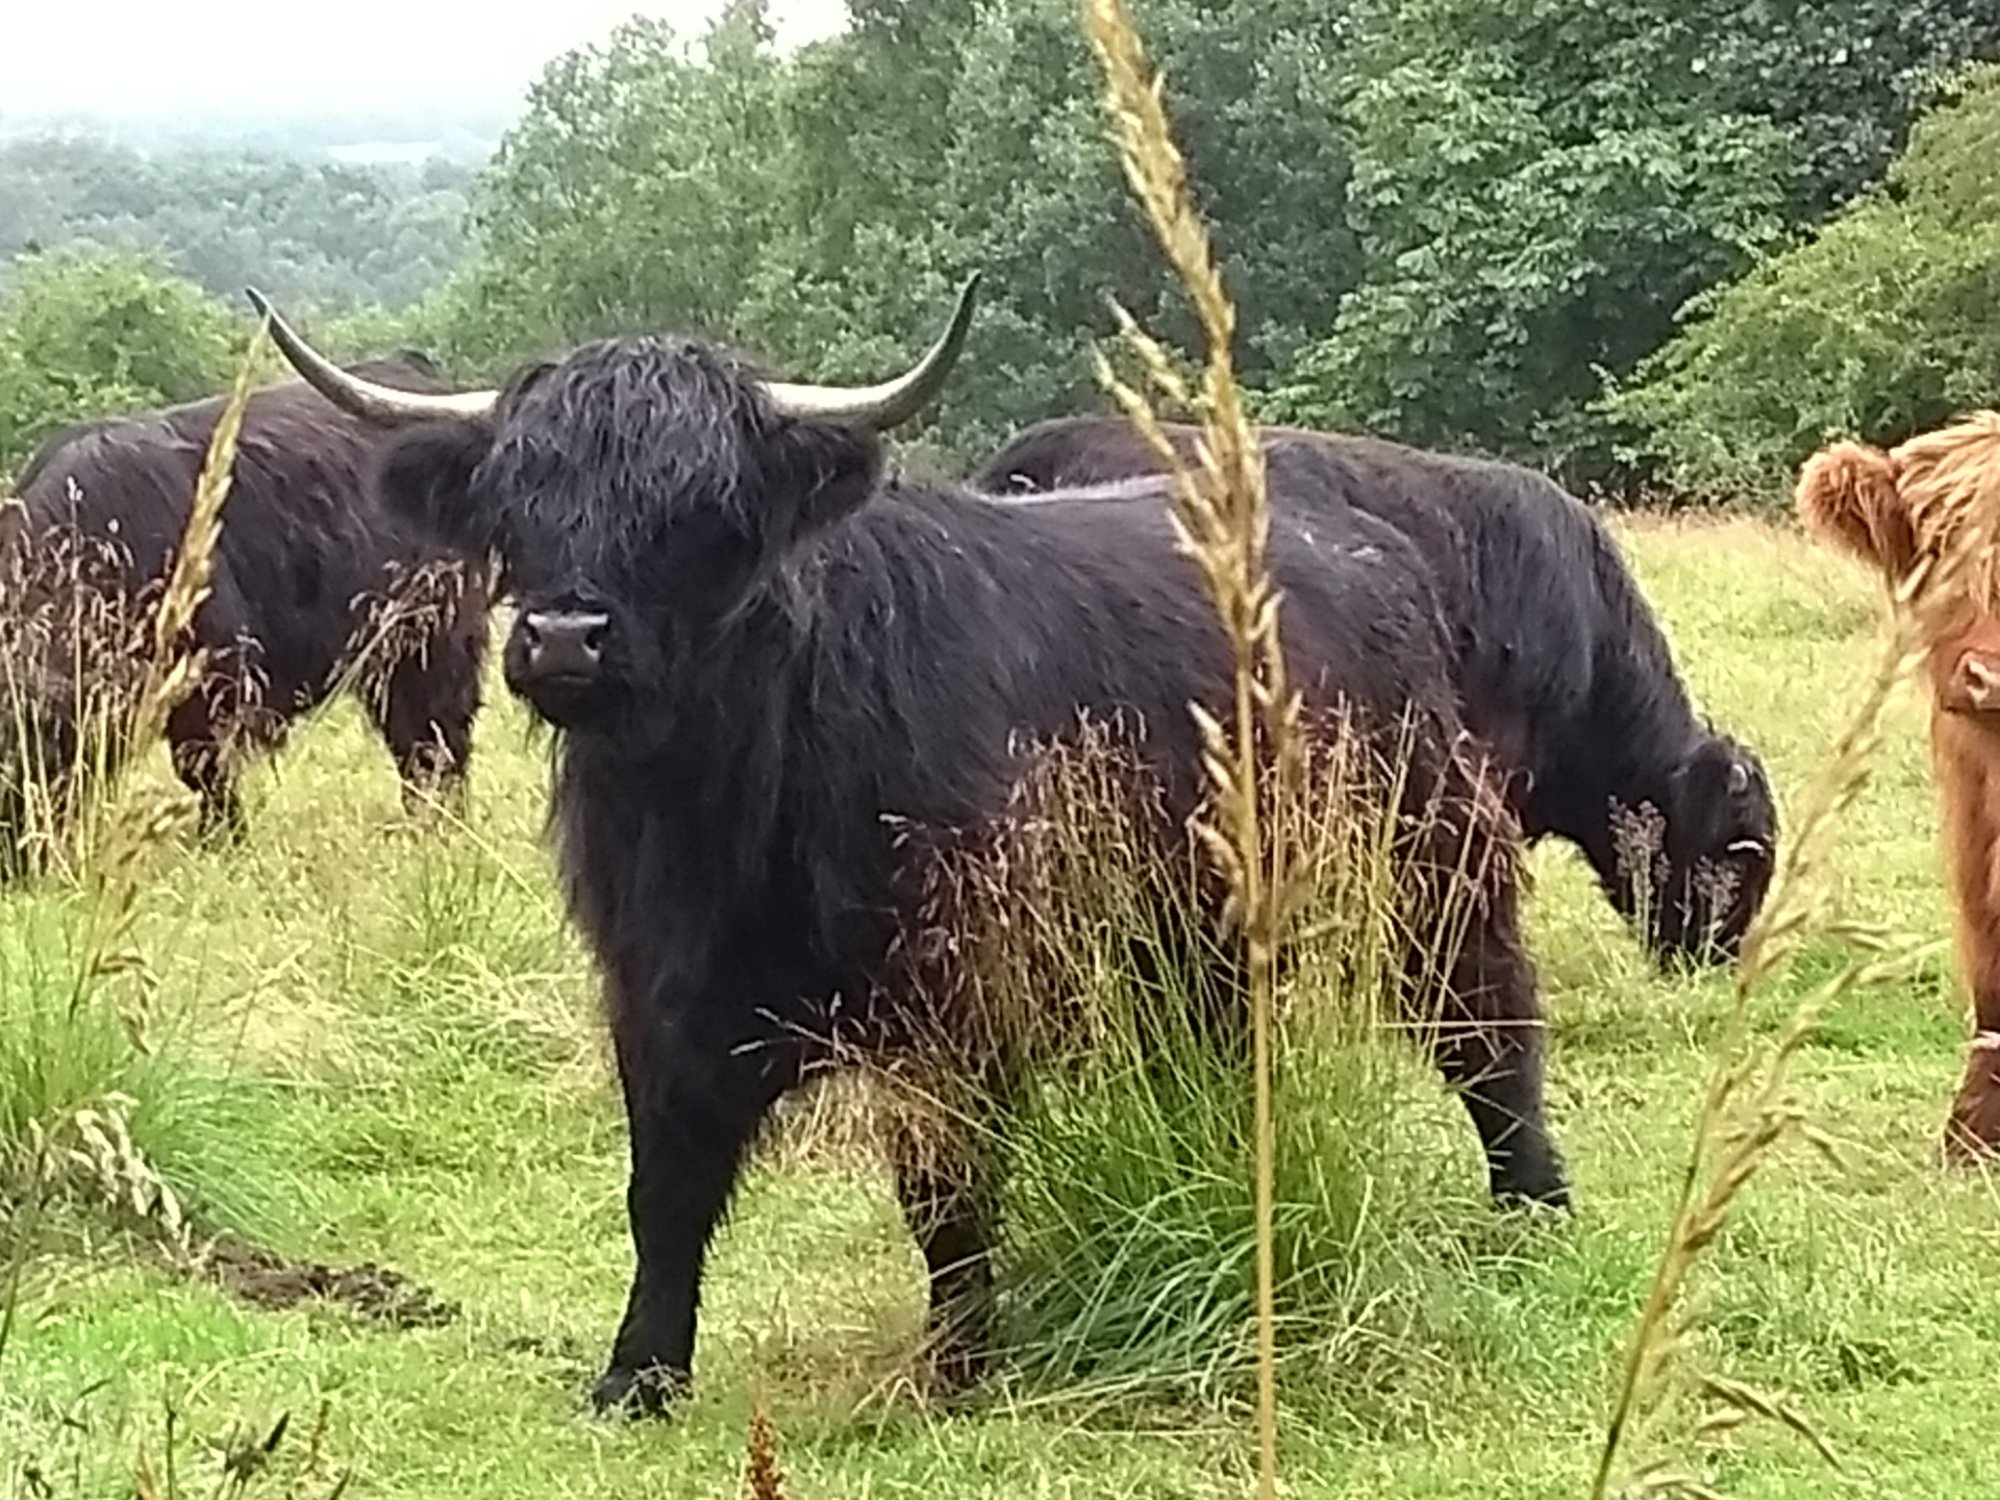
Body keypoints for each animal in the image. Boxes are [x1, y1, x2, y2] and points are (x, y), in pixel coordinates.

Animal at [0, 356, 494, 871]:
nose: (16, 864)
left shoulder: (216, 680)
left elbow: (206, 771)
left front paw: (223, 843)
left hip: (434, 647)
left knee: (436, 746)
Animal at [247, 276, 1571, 1420]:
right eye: (518, 505)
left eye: (705, 514)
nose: (565, 636)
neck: (723, 808)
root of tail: (1363, 540)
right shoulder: (655, 998)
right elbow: (662, 1192)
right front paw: (637, 1376)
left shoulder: (960, 1001)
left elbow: (944, 1193)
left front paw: (960, 1367)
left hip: (1431, 856)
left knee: (1484, 1025)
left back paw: (1531, 1210)